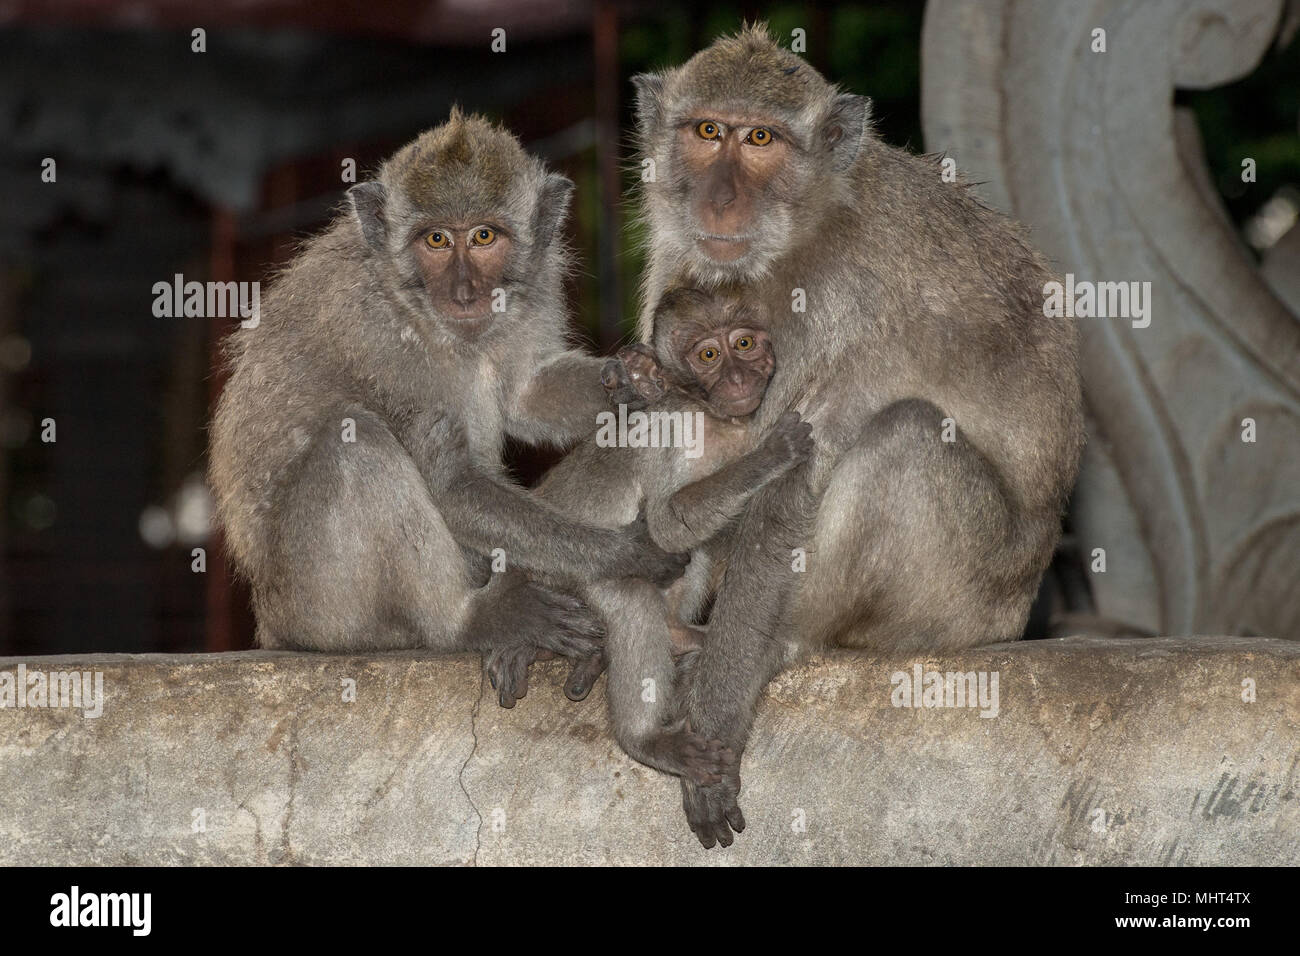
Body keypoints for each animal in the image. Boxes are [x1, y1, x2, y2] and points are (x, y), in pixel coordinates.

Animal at [209, 109, 687, 708]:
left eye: (483, 236)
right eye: (435, 239)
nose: (463, 293)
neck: (413, 301)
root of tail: (269, 621)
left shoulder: (533, 287)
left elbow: (524, 395)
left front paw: (634, 379)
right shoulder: (378, 340)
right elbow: (449, 482)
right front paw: (625, 553)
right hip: (317, 609)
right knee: (355, 445)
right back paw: (469, 621)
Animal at [530, 287, 813, 785]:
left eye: (743, 344)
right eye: (708, 355)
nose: (737, 377)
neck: (715, 417)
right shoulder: (677, 428)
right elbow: (665, 523)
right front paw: (773, 455)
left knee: (690, 554)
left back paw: (679, 635)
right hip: (558, 585)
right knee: (631, 595)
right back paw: (645, 740)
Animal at [630, 24, 1084, 847]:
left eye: (761, 139)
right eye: (708, 131)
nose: (720, 198)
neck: (802, 231)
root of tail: (1017, 615)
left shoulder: (844, 304)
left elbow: (784, 492)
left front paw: (713, 728)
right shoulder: (682, 260)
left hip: (964, 603)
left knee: (905, 435)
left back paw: (782, 642)